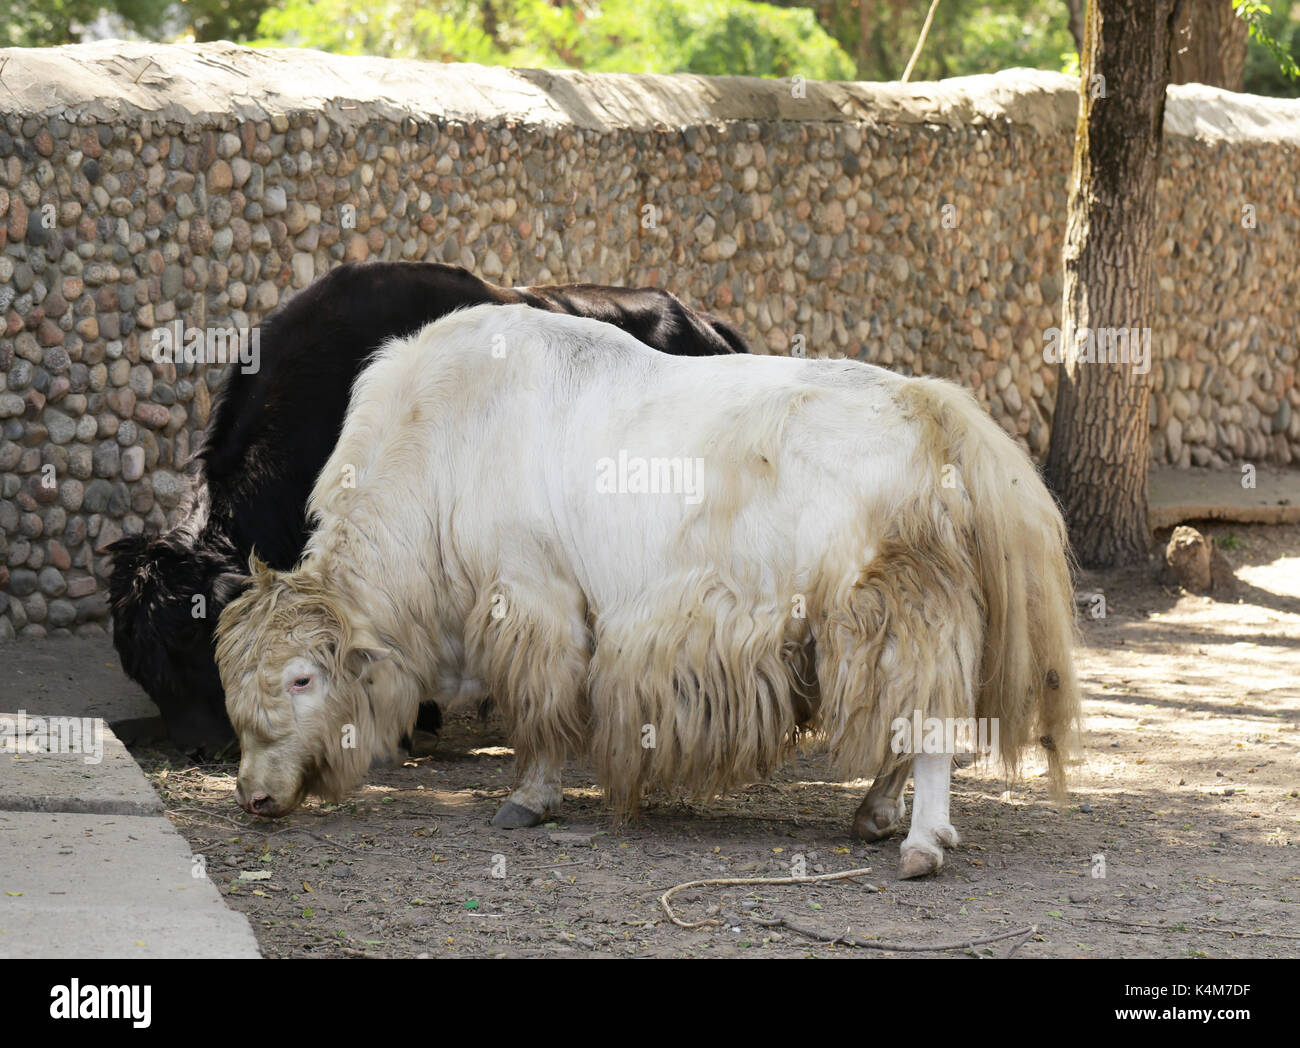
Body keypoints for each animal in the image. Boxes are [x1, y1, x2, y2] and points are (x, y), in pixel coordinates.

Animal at [215, 304, 1081, 878]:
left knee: (925, 722)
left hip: (892, 606)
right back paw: (873, 815)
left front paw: (528, 800)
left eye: (302, 678)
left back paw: (920, 844)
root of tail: (932, 408)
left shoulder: (533, 593)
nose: (253, 797)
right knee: (907, 721)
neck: (441, 448)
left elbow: (541, 704)